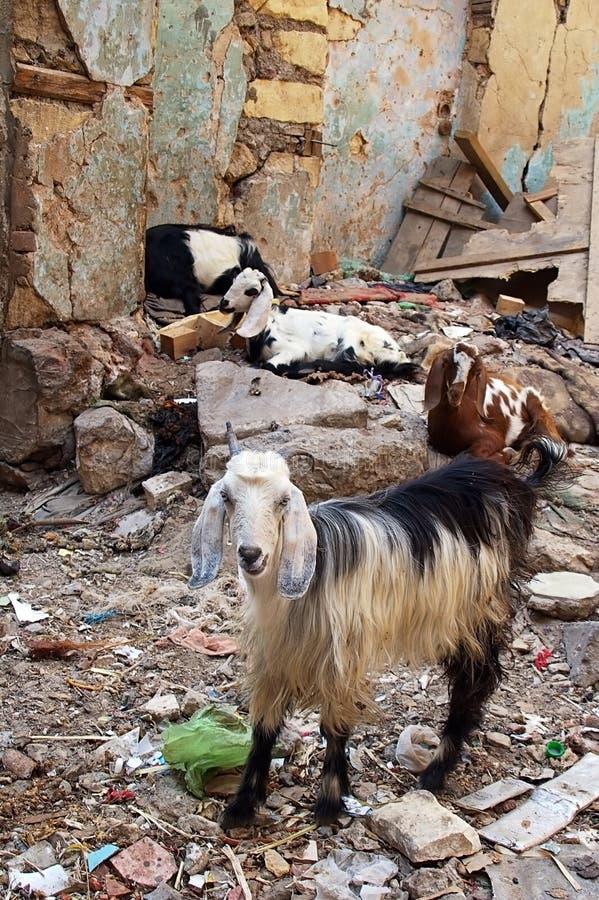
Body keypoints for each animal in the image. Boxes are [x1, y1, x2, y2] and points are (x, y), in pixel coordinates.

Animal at [189, 422, 565, 829]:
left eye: (283, 501)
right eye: (226, 497)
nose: (250, 554)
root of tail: (517, 484)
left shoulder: (342, 657)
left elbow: (334, 726)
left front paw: (330, 802)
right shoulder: (275, 654)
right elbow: (264, 724)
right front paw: (242, 804)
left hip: (477, 610)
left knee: (474, 681)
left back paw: (435, 772)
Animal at [220, 267, 420, 379]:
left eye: (251, 290)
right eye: (233, 281)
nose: (223, 303)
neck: (268, 323)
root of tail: (400, 354)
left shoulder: (294, 349)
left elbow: (269, 366)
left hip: (352, 339)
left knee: (356, 366)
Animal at [424, 342, 568, 465]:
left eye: (475, 371)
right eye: (446, 362)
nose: (455, 394)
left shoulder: (493, 437)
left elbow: (474, 454)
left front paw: (508, 454)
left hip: (536, 404)